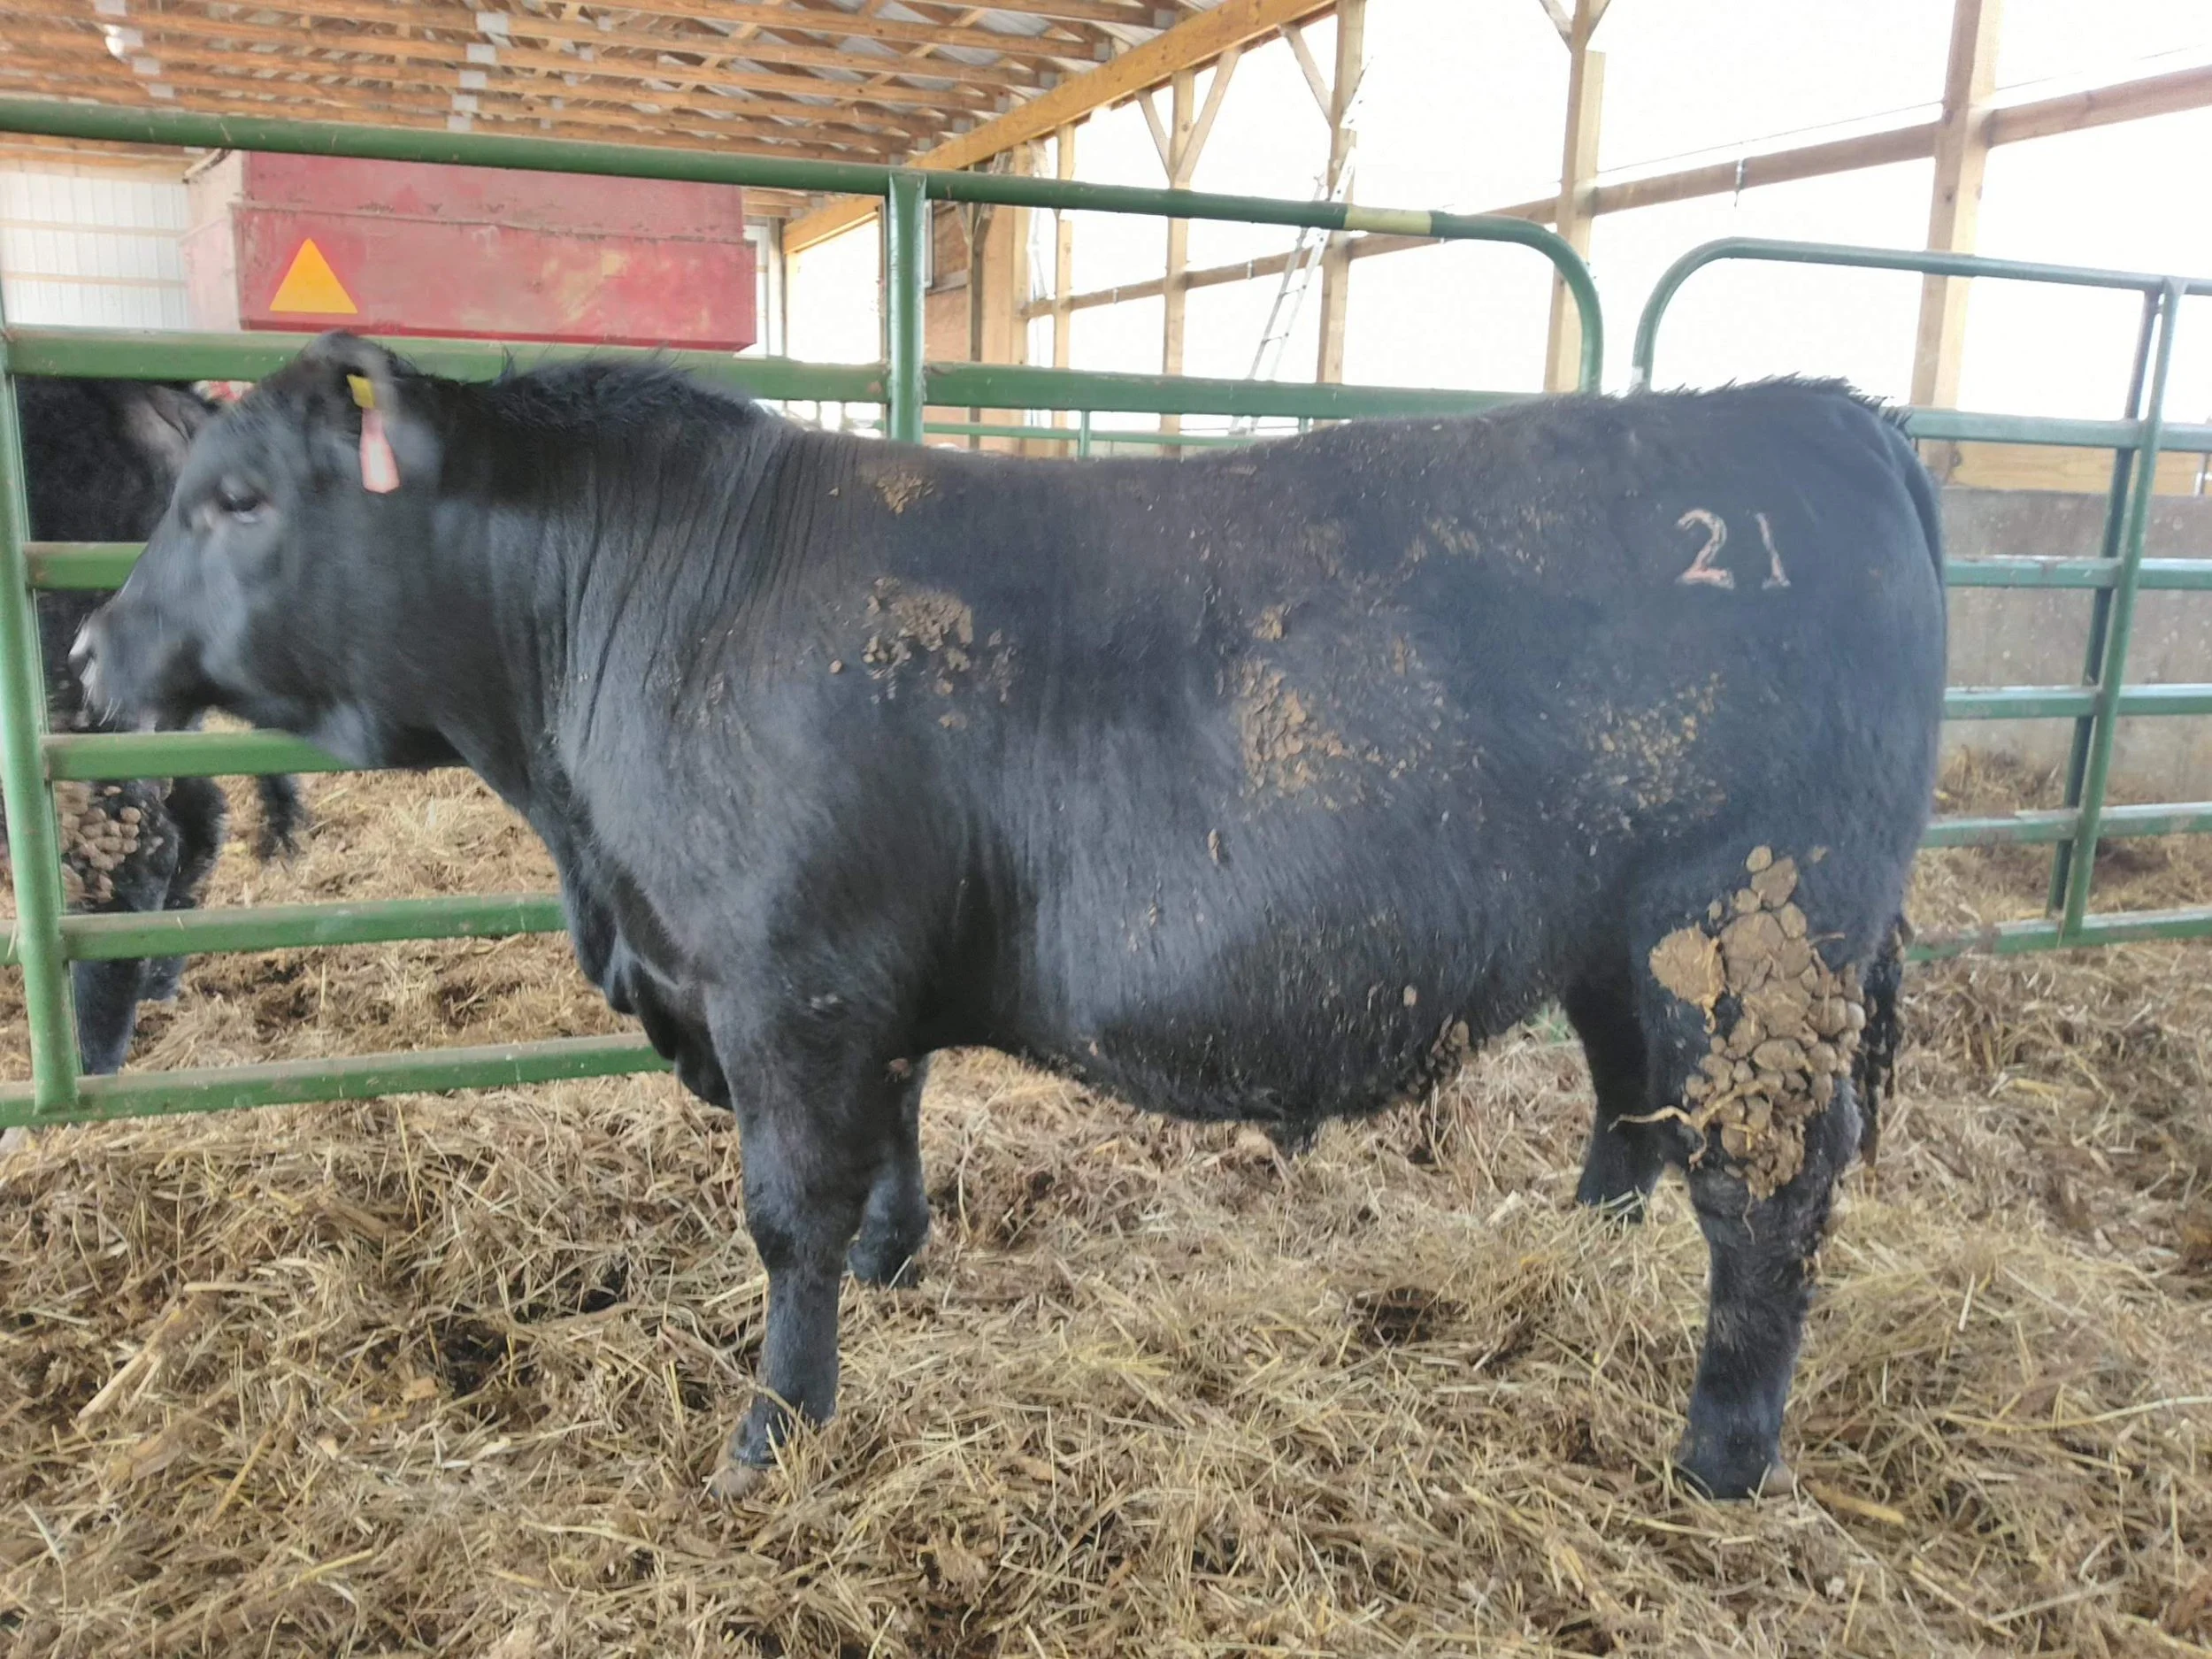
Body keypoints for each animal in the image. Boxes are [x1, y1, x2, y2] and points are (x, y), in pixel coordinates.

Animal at [75, 333, 1945, 1501]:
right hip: (1631, 945)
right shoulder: (857, 985)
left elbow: (788, 1215)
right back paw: (1567, 1268)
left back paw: (1716, 1463)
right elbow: (892, 1143)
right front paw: (897, 1272)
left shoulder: (787, 991)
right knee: (1635, 1117)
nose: (86, 650)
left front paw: (774, 1433)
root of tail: (1824, 410)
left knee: (1769, 1195)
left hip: (1764, 942)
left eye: (242, 499)